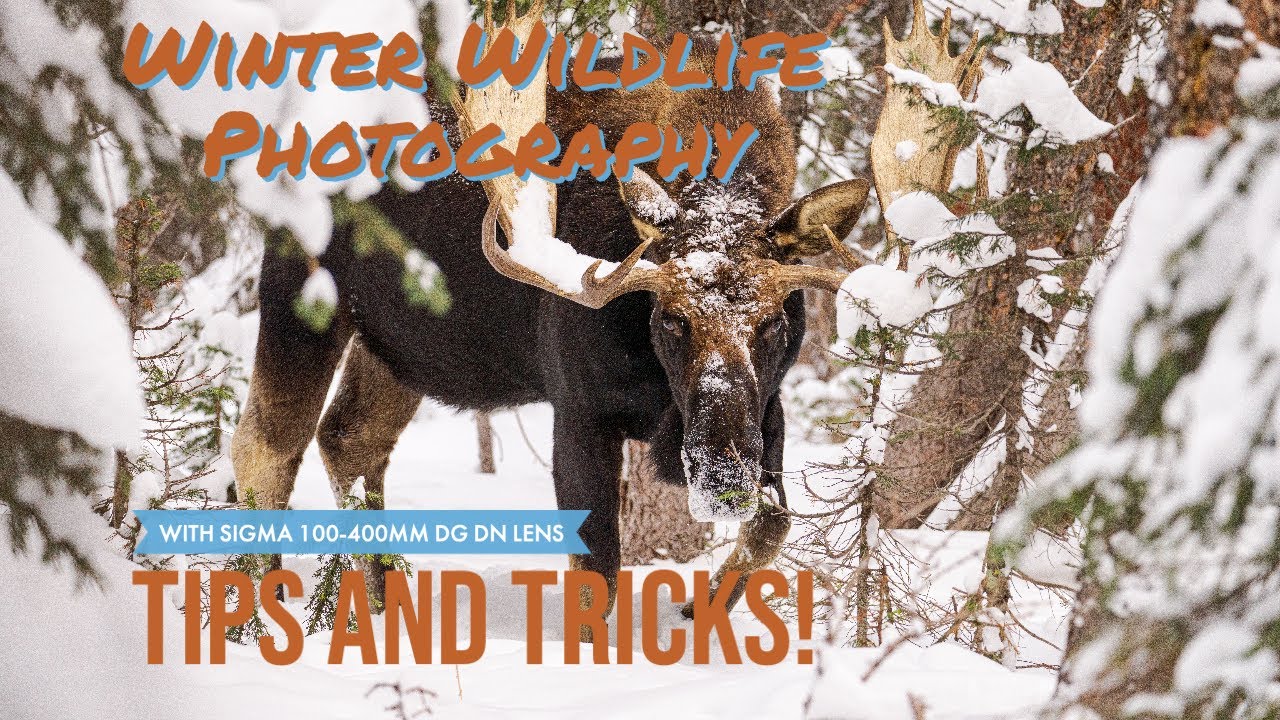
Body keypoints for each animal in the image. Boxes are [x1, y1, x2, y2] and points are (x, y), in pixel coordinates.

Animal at [230, 0, 982, 635]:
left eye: (773, 322)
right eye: (671, 318)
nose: (722, 469)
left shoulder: (768, 410)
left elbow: (773, 527)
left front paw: (696, 610)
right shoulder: (580, 407)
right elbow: (598, 568)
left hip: (402, 349)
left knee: (349, 441)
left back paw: (383, 606)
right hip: (301, 300)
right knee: (267, 447)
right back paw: (261, 617)